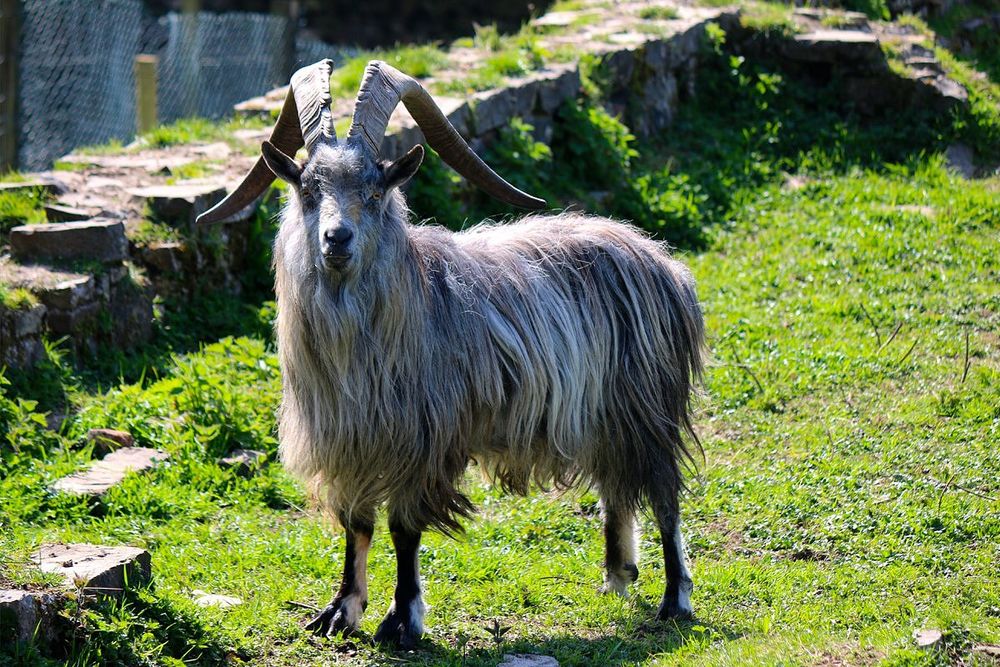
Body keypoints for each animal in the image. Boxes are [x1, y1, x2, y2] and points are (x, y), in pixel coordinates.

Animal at [198, 59, 705, 648]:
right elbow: (356, 525)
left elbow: (403, 528)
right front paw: (340, 612)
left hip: (647, 405)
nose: (336, 239)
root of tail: (664, 263)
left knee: (664, 492)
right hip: (602, 413)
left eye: (376, 190)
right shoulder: (352, 441)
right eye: (306, 188)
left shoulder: (421, 441)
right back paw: (618, 574)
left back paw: (675, 601)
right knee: (617, 485)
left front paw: (402, 619)